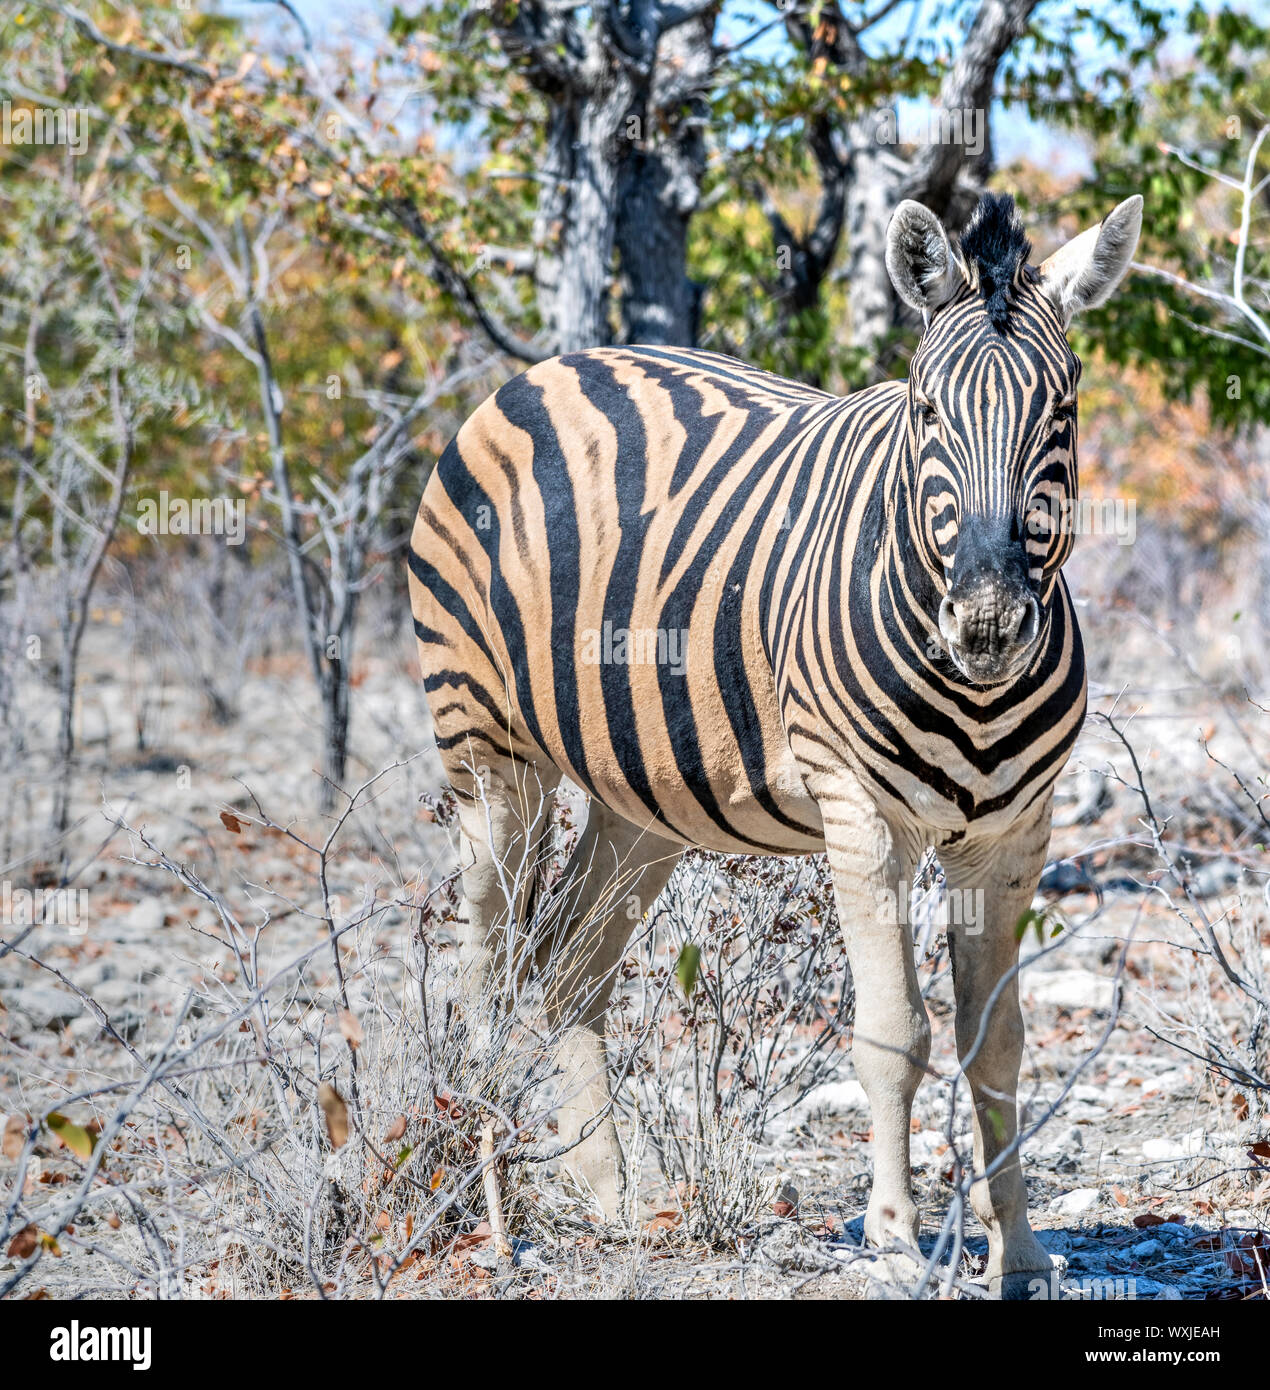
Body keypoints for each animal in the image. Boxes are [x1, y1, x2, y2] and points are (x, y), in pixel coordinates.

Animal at [407, 191, 1142, 1295]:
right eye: (927, 412)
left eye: (1060, 413)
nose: (985, 623)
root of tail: (545, 370)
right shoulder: (861, 816)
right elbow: (894, 1033)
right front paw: (893, 1238)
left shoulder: (1012, 837)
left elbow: (999, 1045)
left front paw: (1017, 1252)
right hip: (490, 758)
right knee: (483, 972)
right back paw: (494, 1216)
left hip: (641, 797)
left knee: (569, 966)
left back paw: (613, 1202)